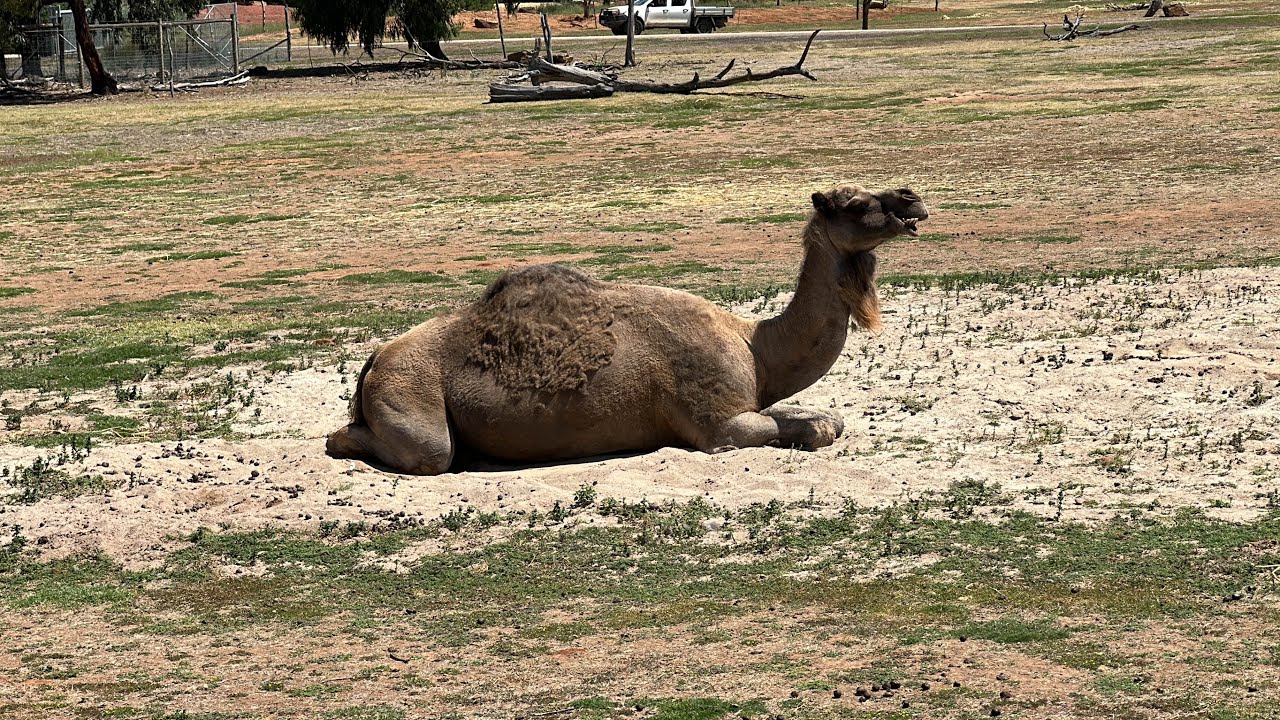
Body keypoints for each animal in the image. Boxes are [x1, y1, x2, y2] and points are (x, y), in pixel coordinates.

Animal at [326, 185, 928, 475]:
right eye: (856, 203)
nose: (912, 199)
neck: (753, 345)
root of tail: (374, 359)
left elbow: (827, 421)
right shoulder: (718, 423)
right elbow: (776, 430)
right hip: (413, 399)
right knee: (418, 450)